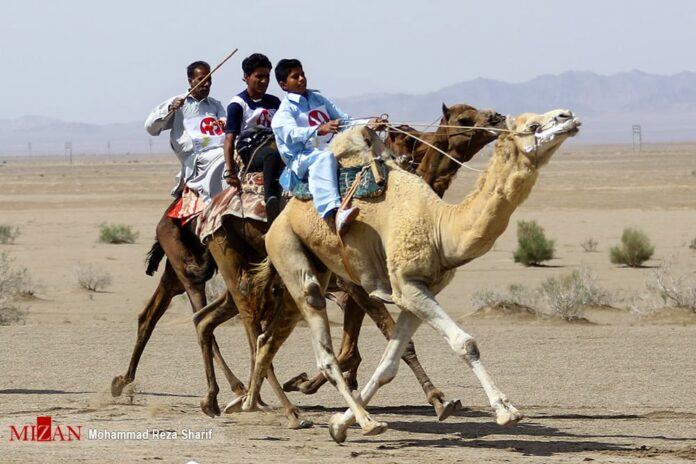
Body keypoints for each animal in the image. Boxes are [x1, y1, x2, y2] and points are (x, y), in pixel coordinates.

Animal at [111, 103, 503, 423]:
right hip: (207, 264)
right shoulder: (356, 285)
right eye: (464, 118)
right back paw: (264, 402)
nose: (497, 118)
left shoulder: (353, 285)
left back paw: (203, 394)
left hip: (219, 270)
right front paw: (437, 399)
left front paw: (318, 385)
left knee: (186, 318)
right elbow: (386, 343)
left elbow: (353, 351)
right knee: (240, 325)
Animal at [238, 109, 581, 442]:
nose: (568, 116)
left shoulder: (419, 292)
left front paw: (339, 425)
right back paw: (365, 422)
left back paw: (253, 405)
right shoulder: (408, 286)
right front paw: (505, 411)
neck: (439, 225)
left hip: (314, 265)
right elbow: (465, 343)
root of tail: (282, 213)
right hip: (287, 248)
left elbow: (388, 364)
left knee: (268, 337)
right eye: (533, 125)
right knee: (320, 346)